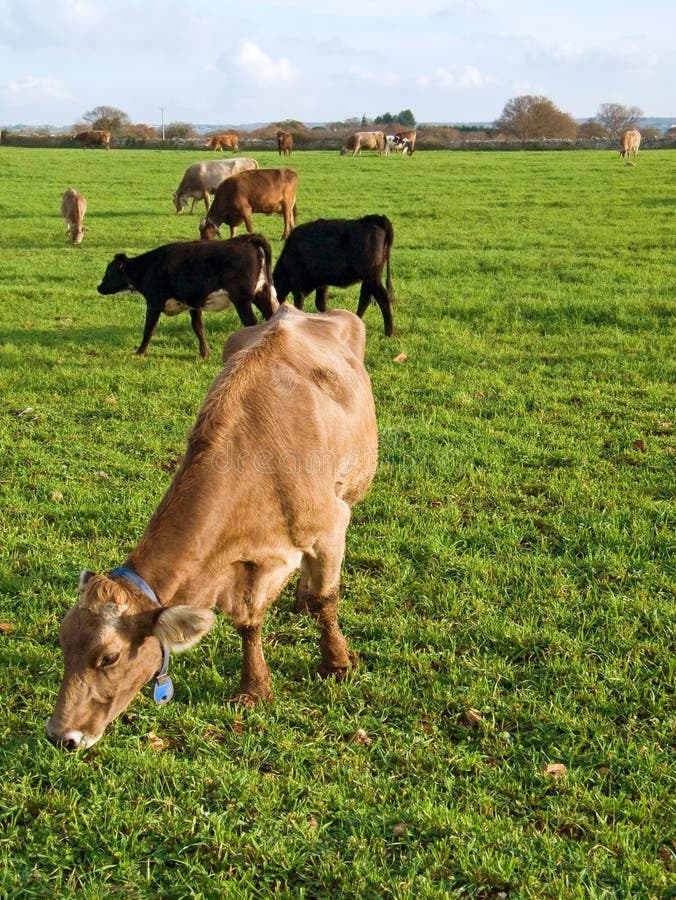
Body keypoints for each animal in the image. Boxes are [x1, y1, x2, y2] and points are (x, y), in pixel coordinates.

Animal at [45, 303, 378, 750]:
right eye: (63, 642)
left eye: (108, 657)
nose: (59, 735)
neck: (255, 466)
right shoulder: (244, 563)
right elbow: (248, 621)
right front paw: (255, 687)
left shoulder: (330, 527)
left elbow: (328, 600)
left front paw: (337, 663)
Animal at [96, 236, 277, 358]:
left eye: (110, 272)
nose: (99, 287)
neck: (150, 266)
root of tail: (244, 239)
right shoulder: (193, 304)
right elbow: (198, 328)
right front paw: (204, 353)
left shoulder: (154, 303)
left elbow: (149, 329)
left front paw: (139, 352)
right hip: (261, 294)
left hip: (241, 300)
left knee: (252, 323)